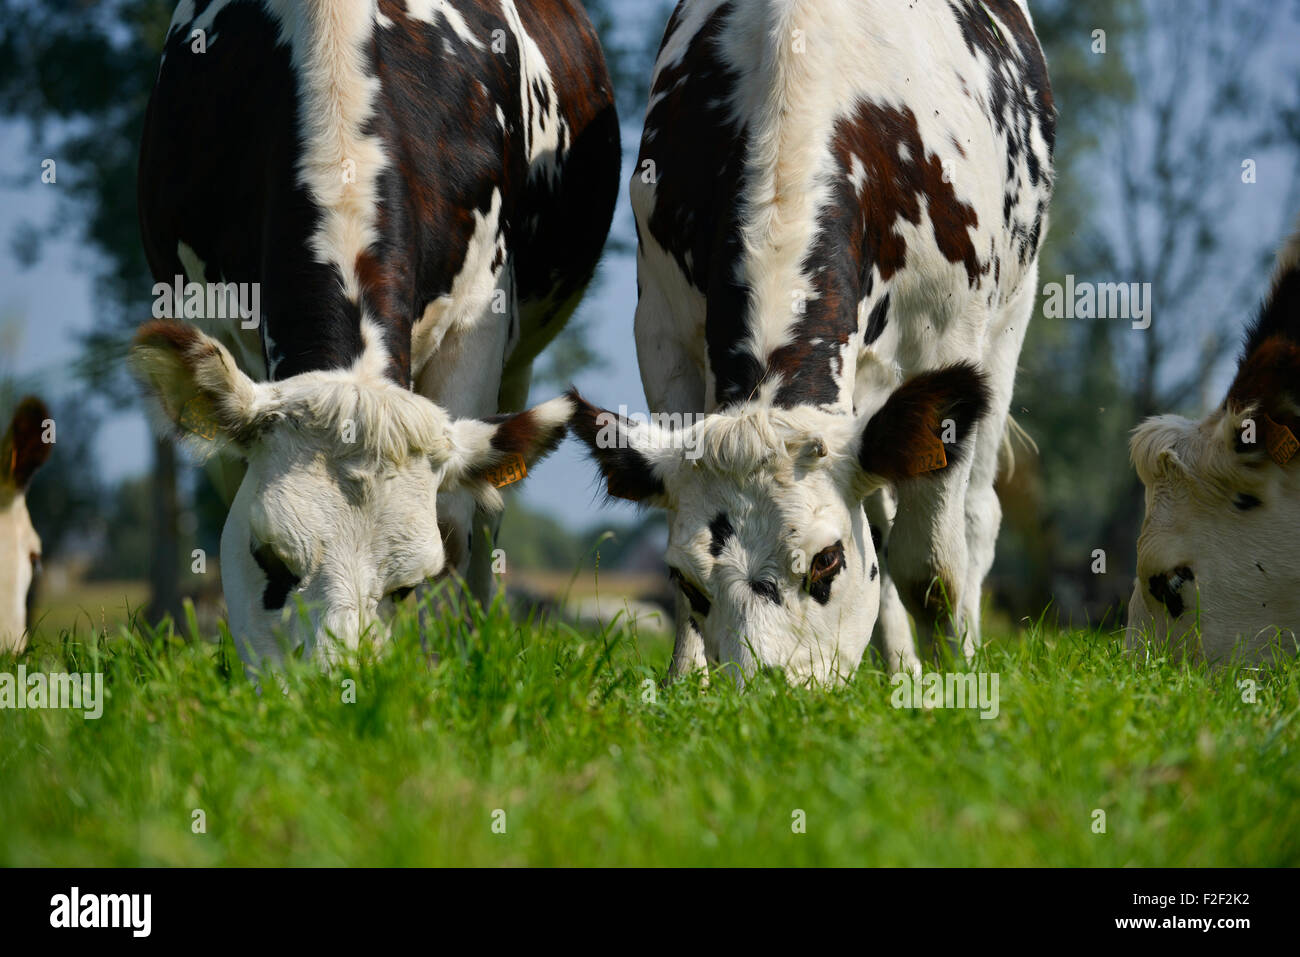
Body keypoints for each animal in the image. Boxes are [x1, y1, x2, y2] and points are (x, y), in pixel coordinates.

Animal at [129, 0, 619, 663]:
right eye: (269, 559)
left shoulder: (480, 317)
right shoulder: (212, 314)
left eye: (407, 586)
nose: (334, 682)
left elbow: (456, 520)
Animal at [570, 0, 1055, 684]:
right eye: (690, 580)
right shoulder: (662, 331)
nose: (764, 693)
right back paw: (900, 667)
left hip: (1010, 317)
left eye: (826, 560)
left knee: (974, 517)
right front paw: (684, 681)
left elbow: (928, 568)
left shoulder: (947, 340)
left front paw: (958, 683)